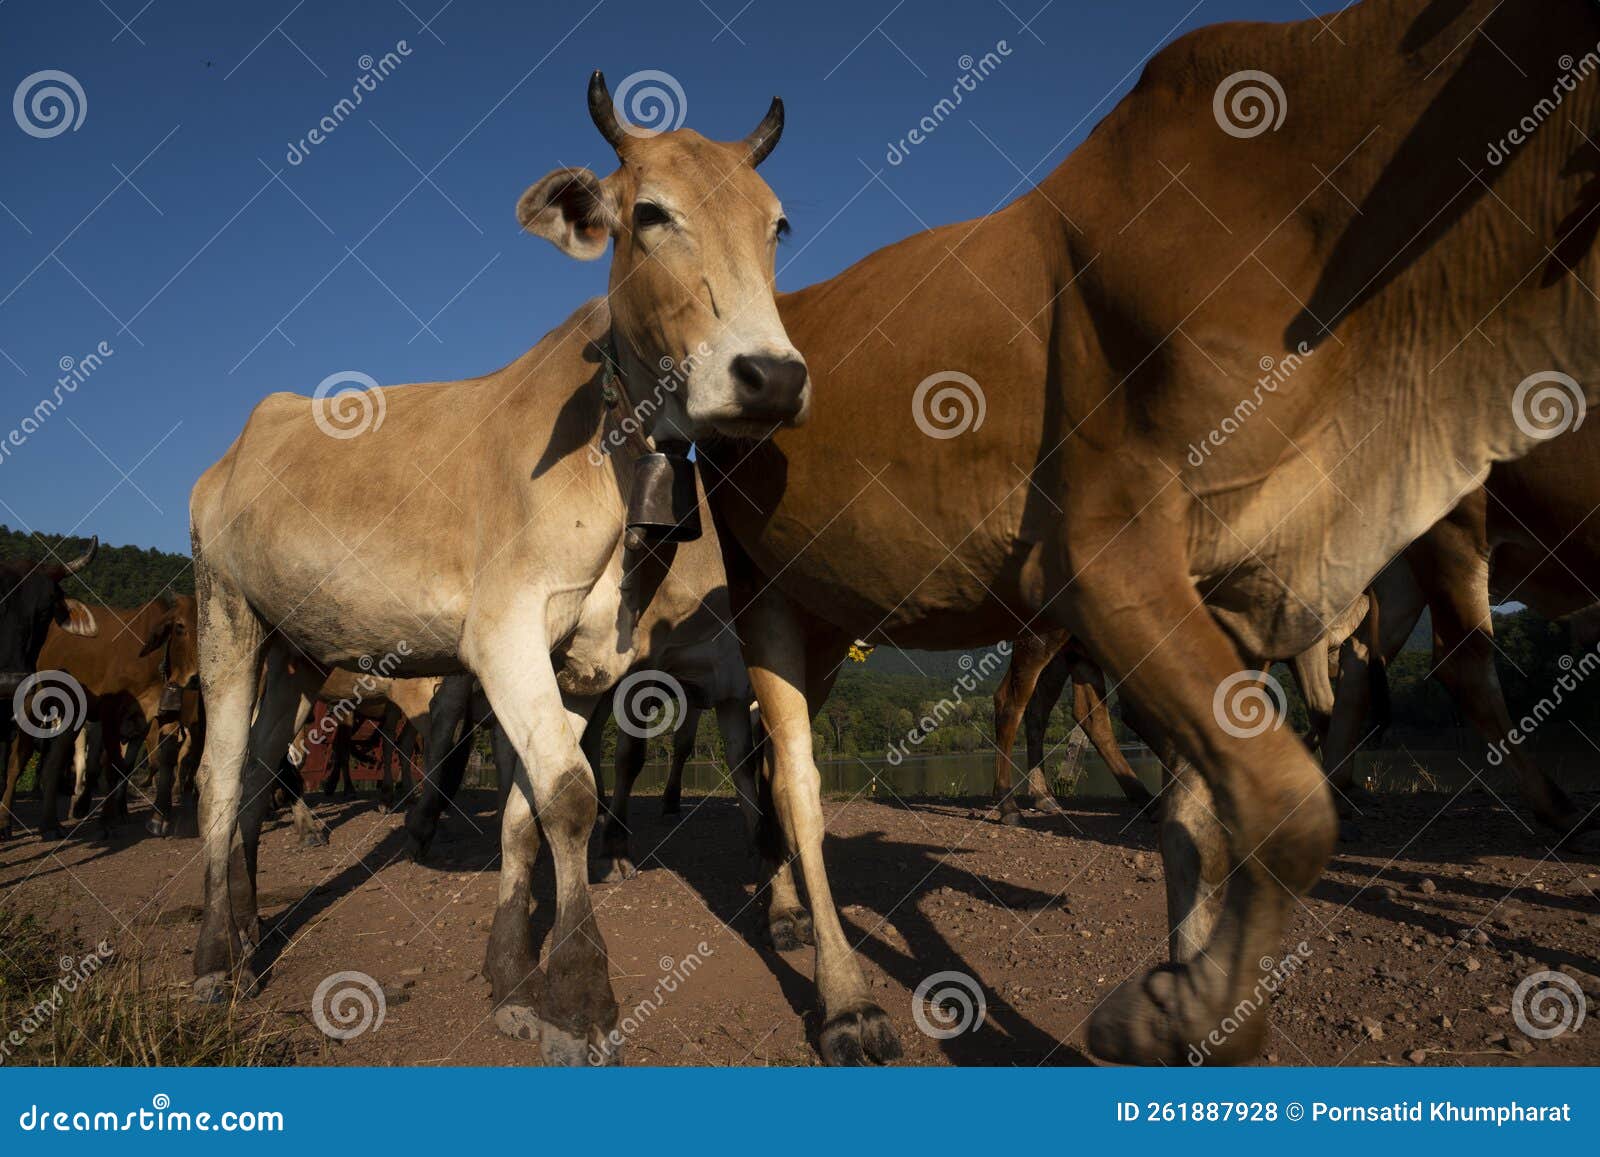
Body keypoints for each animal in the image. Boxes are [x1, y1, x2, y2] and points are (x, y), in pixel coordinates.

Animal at [186, 74, 806, 1066]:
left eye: (776, 224)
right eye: (652, 214)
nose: (773, 377)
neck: (610, 448)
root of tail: (246, 435)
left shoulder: (585, 661)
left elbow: (528, 809)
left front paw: (515, 979)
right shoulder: (504, 633)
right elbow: (570, 794)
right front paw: (580, 997)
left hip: (296, 647)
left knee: (254, 778)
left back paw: (247, 930)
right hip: (227, 613)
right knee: (216, 779)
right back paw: (214, 958)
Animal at [692, 0, 1600, 1064]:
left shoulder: (1232, 586)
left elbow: (1201, 819)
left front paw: (1199, 995)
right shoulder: (1101, 557)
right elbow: (1287, 806)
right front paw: (1169, 1009)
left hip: (833, 611)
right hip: (763, 589)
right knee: (796, 775)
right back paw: (844, 995)